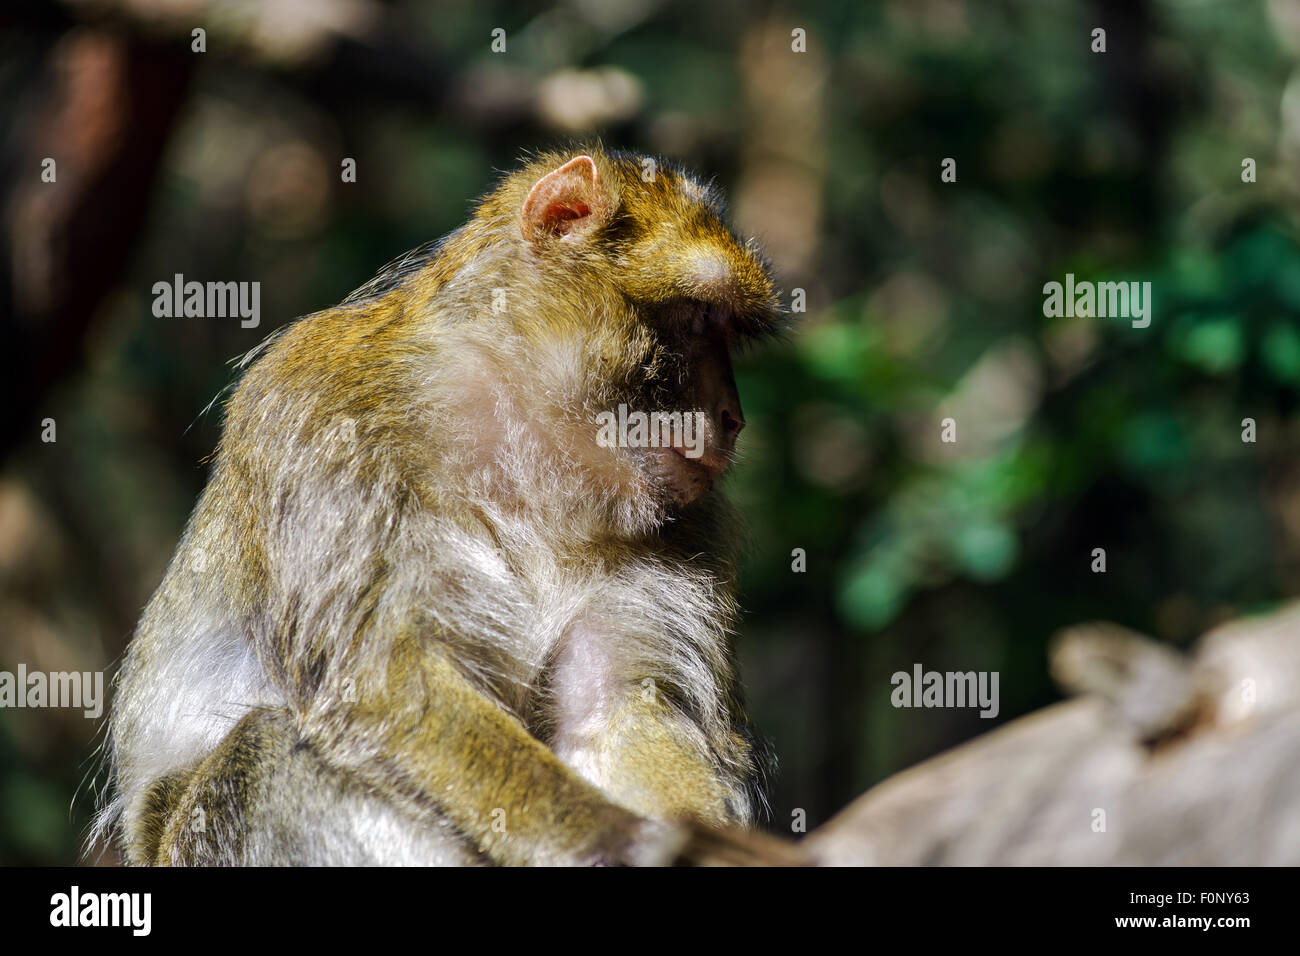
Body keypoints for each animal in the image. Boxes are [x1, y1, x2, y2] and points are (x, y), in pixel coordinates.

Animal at [98, 145, 799, 866]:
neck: (526, 448)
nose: (733, 417)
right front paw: (624, 837)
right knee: (261, 752)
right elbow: (379, 688)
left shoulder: (690, 521)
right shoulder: (321, 410)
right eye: (698, 317)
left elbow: (613, 708)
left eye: (727, 331)